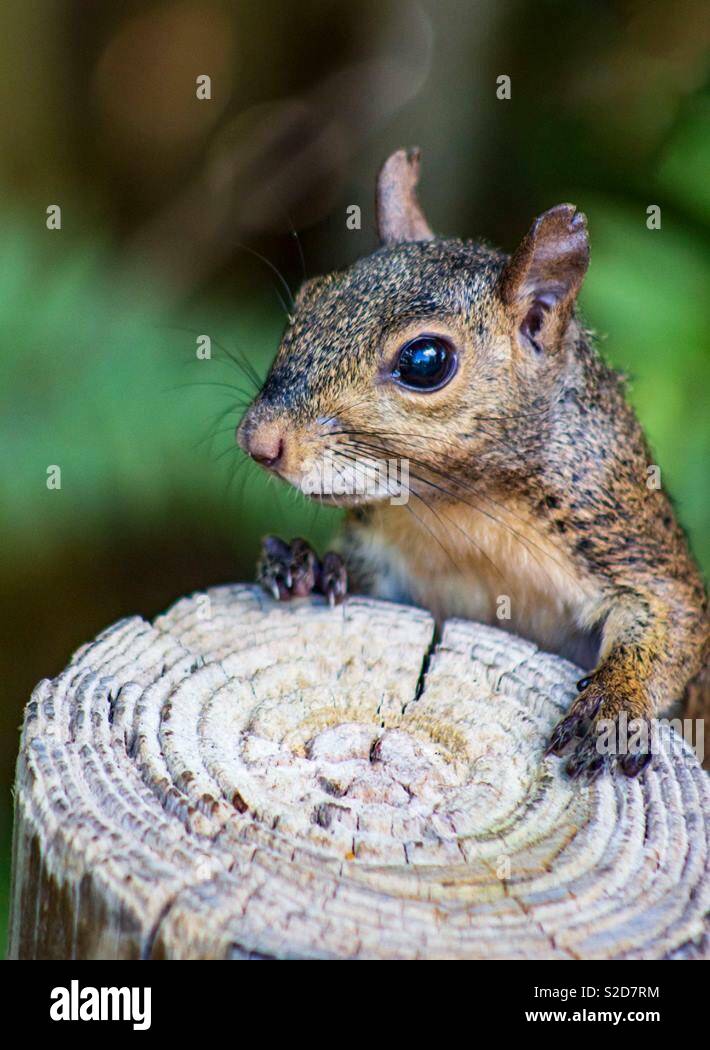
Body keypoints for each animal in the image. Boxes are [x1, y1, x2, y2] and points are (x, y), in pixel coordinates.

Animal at [237, 147, 708, 782]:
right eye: (309, 299)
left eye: (425, 360)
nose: (258, 440)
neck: (459, 509)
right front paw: (304, 564)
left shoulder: (620, 527)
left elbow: (672, 616)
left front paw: (613, 705)